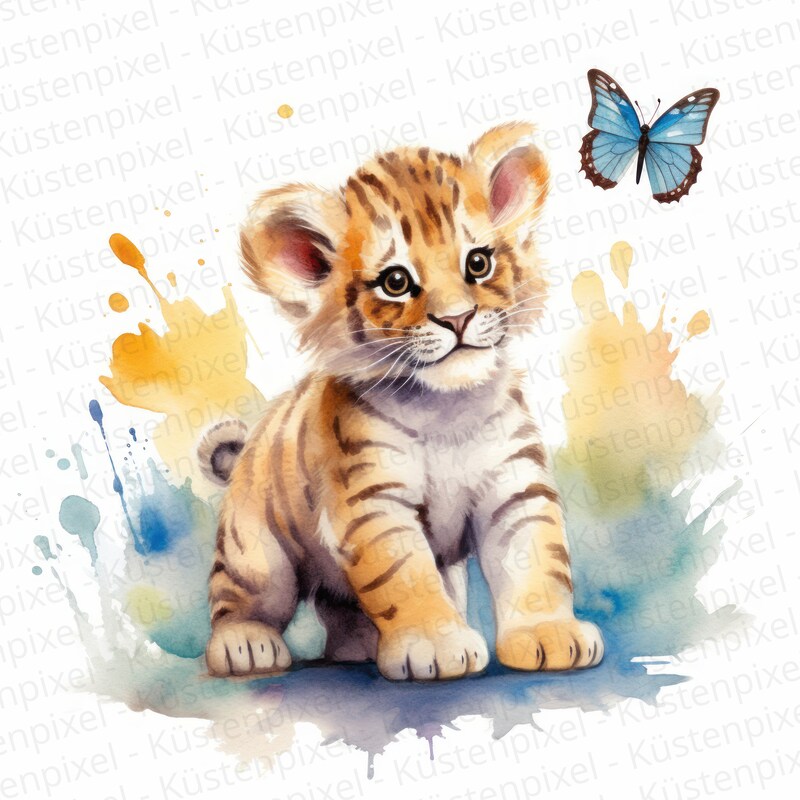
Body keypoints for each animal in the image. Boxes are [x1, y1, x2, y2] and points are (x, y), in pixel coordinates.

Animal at [198, 122, 604, 681]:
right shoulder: (374, 502)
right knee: (240, 598)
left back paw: (360, 647)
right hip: (258, 554)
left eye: (478, 263)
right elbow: (405, 577)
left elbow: (536, 562)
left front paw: (549, 635)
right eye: (396, 282)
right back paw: (246, 645)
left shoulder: (514, 488)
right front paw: (436, 645)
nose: (457, 319)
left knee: (340, 603)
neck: (447, 409)